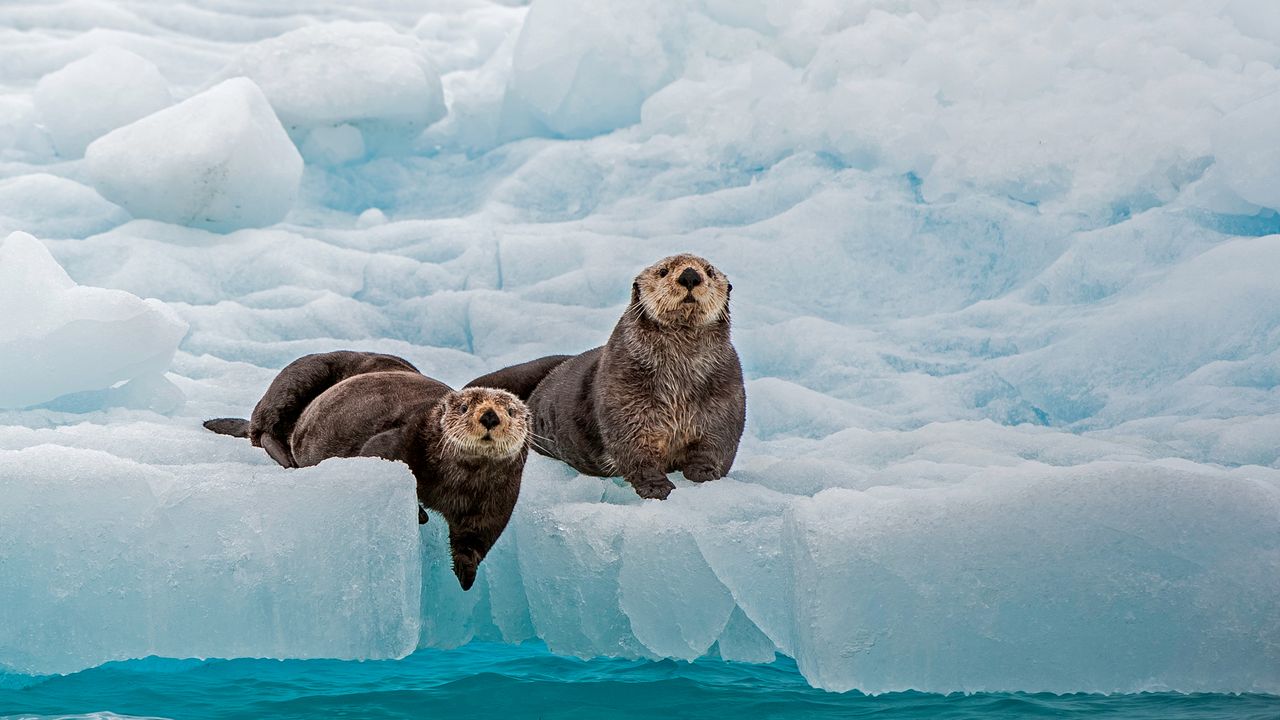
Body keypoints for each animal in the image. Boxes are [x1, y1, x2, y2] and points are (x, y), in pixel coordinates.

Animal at [204, 351, 530, 590]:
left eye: (511, 410)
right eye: (464, 407)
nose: (490, 416)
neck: (460, 480)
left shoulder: (497, 498)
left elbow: (477, 537)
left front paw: (466, 575)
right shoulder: (399, 440)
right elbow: (376, 453)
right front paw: (421, 514)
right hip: (298, 377)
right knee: (263, 430)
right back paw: (287, 456)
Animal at [468, 254, 745, 500]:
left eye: (709, 271)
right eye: (663, 271)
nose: (690, 275)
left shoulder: (725, 392)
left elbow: (718, 441)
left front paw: (704, 473)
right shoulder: (622, 391)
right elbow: (633, 446)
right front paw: (655, 487)